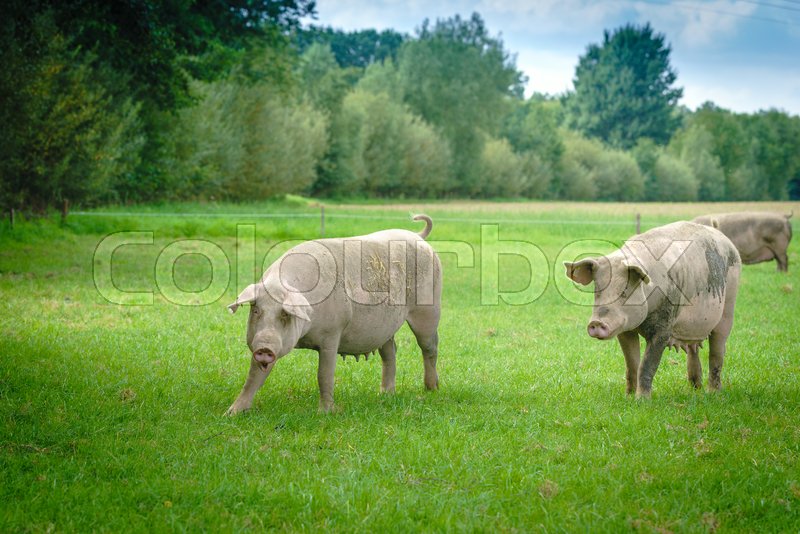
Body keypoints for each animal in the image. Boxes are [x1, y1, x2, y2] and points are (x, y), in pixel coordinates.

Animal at [225, 214, 442, 414]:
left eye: (285, 314)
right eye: (256, 311)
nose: (264, 348)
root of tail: (418, 236)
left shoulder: (332, 333)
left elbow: (324, 374)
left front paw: (325, 412)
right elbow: (254, 377)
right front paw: (232, 413)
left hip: (428, 309)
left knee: (429, 347)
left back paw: (432, 389)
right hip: (386, 328)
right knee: (390, 352)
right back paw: (385, 394)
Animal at [564, 221, 741, 398]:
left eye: (624, 291)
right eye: (597, 290)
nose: (596, 323)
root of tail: (728, 242)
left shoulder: (664, 327)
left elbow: (647, 365)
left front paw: (642, 399)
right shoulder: (625, 329)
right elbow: (631, 364)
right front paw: (628, 397)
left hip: (728, 306)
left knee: (717, 351)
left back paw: (713, 393)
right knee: (693, 349)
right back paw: (695, 390)